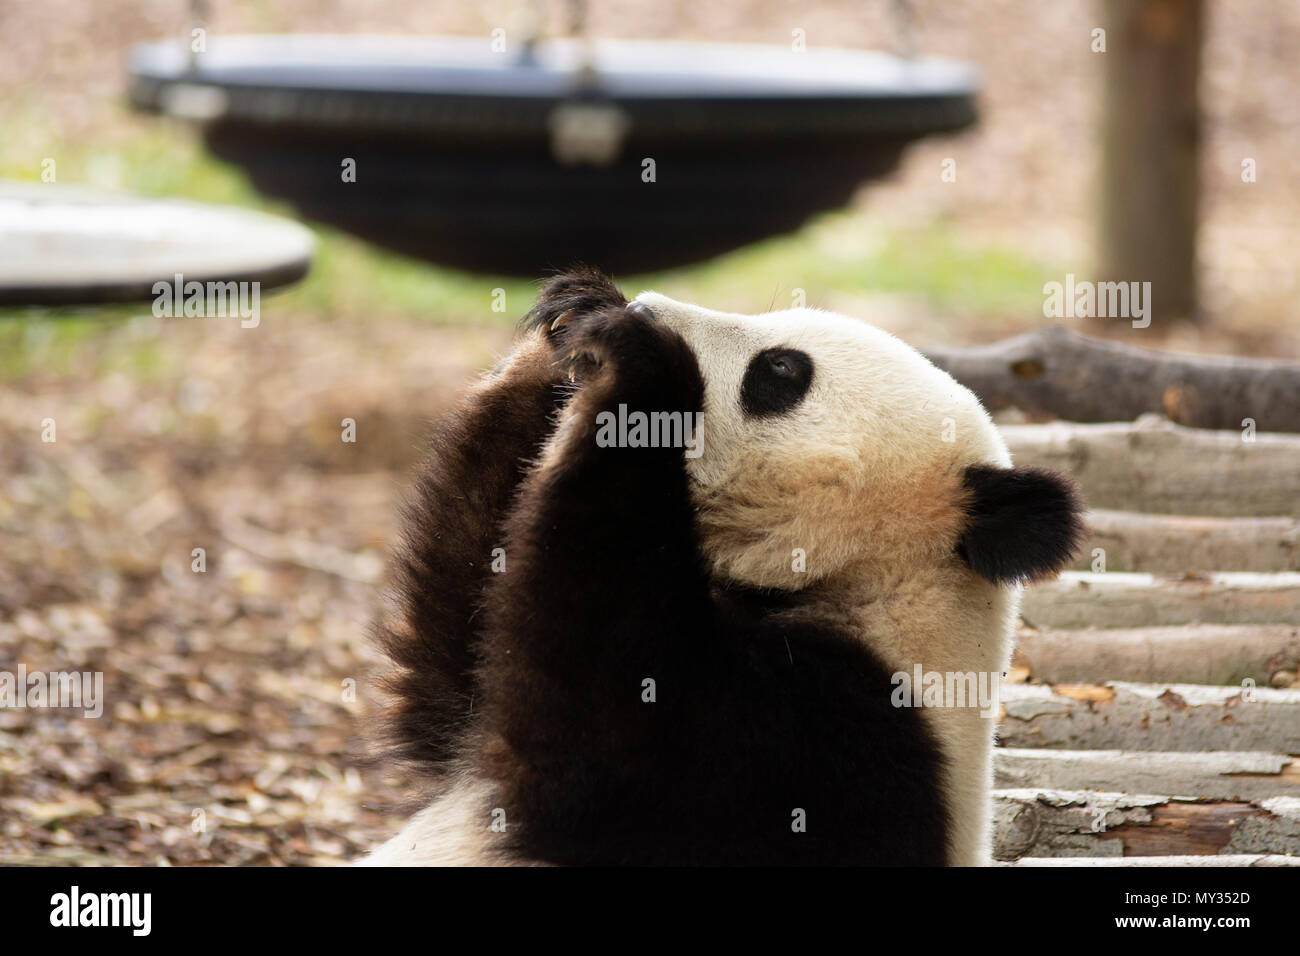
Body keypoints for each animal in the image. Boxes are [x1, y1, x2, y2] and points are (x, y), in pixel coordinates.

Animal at [362, 267, 1083, 866]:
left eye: (781, 370)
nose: (646, 306)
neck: (871, 583)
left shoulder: (829, 741)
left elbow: (593, 739)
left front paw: (644, 366)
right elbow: (452, 677)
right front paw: (575, 317)